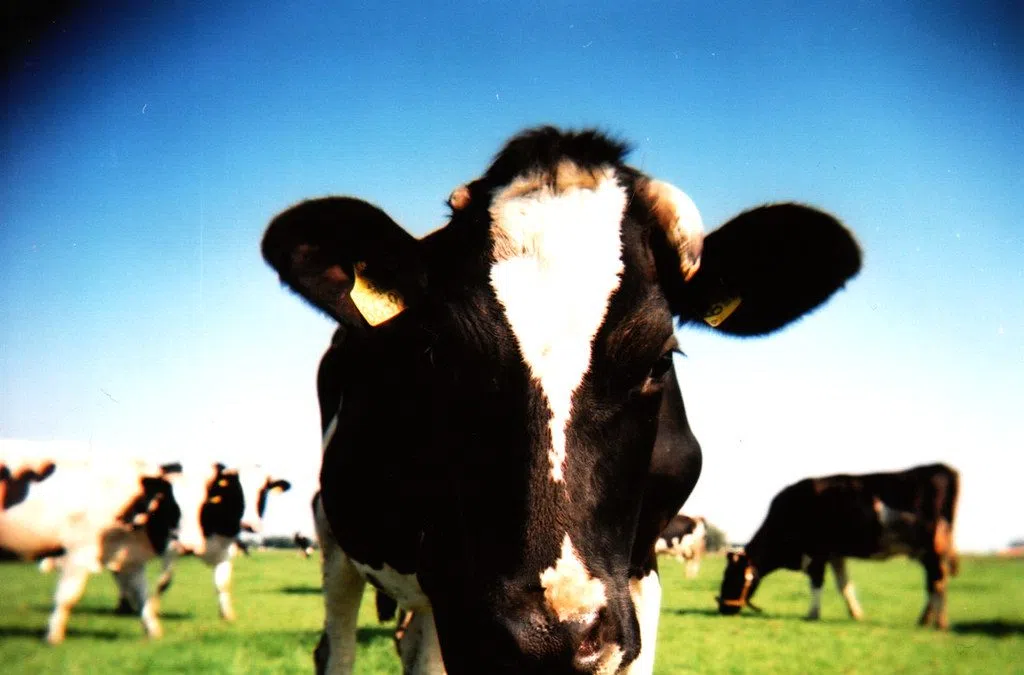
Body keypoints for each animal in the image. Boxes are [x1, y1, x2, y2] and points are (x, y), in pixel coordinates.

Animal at [0, 457, 206, 643]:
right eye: (171, 503)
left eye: (201, 505)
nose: (190, 546)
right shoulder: (76, 555)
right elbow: (66, 597)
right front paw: (53, 637)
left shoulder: (130, 561)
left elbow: (142, 597)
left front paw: (153, 633)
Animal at [262, 126, 861, 674]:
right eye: (439, 353)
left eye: (659, 360)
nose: (550, 638)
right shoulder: (458, 598)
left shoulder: (640, 574)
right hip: (335, 535)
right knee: (337, 649)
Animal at [717, 463, 960, 629]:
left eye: (732, 577)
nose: (723, 608)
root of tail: (943, 468)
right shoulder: (836, 555)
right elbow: (845, 586)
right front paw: (856, 614)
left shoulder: (818, 553)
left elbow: (817, 583)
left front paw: (812, 614)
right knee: (936, 582)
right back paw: (928, 620)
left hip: (933, 549)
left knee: (937, 581)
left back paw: (938, 623)